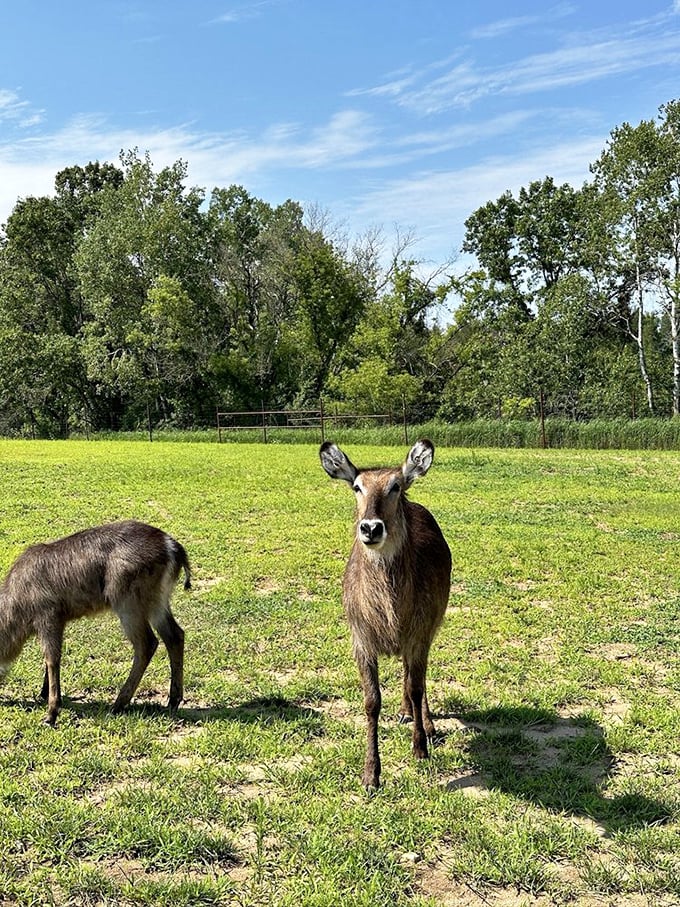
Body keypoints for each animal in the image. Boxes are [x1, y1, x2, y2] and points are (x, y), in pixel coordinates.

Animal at [0, 520, 190, 725]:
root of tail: (172, 546)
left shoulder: (48, 617)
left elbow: (51, 658)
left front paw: (51, 713)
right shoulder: (60, 621)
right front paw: (45, 694)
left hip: (128, 602)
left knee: (147, 643)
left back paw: (117, 705)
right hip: (157, 603)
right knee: (175, 635)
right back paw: (172, 701)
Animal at [320, 439, 451, 789]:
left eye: (395, 486)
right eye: (356, 486)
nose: (370, 528)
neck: (390, 615)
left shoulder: (419, 633)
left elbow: (416, 686)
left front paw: (420, 747)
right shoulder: (361, 639)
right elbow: (371, 701)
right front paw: (371, 774)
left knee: (416, 678)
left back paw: (426, 723)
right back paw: (405, 713)